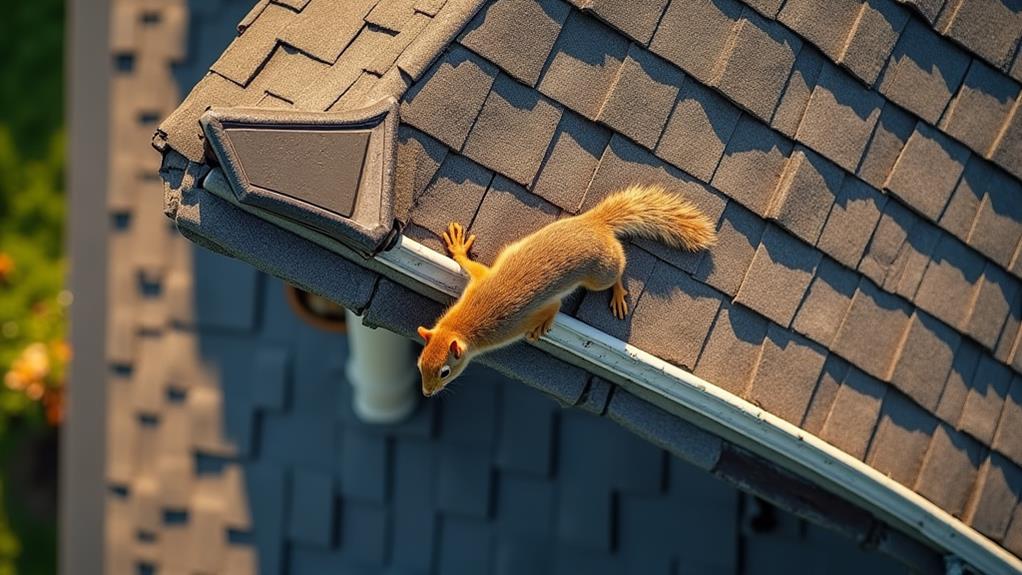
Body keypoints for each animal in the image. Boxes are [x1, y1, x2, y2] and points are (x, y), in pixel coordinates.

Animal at [416, 183, 717, 396]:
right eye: (420, 363)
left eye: (445, 372)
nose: (427, 393)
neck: (466, 323)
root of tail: (596, 222)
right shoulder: (480, 280)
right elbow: (470, 265)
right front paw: (458, 246)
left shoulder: (517, 322)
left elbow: (554, 307)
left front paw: (543, 325)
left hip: (601, 273)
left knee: (618, 271)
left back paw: (619, 293)